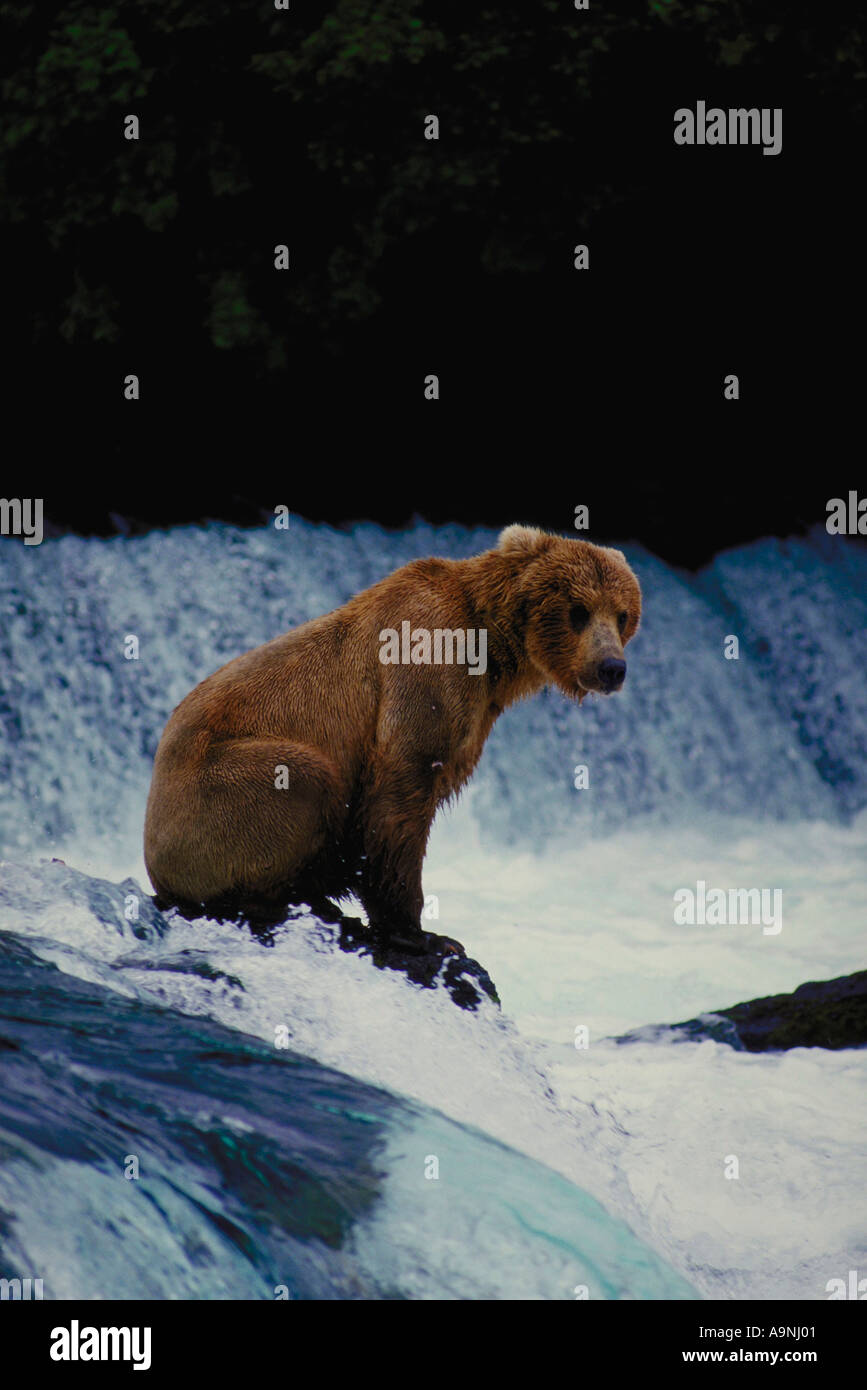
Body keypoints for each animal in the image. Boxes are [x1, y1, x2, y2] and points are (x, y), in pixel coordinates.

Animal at [144, 525, 641, 945]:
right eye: (578, 611)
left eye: (622, 614)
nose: (611, 668)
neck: (493, 649)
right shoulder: (424, 669)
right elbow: (400, 792)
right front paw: (416, 928)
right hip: (213, 790)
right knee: (304, 777)